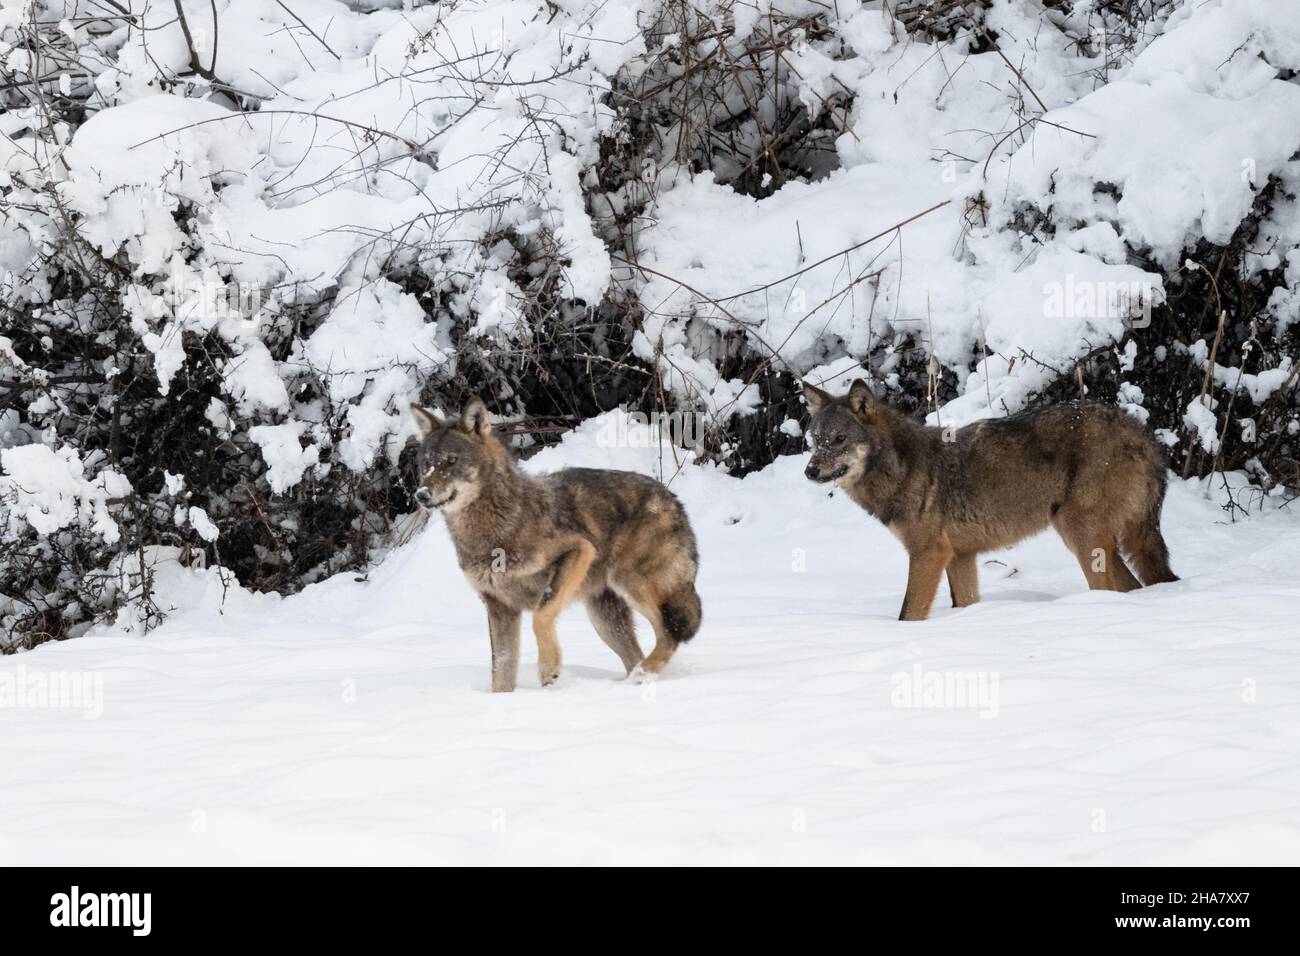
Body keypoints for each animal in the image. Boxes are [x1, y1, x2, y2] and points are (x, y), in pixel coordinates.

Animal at [411, 400, 702, 691]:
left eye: (451, 461)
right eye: (426, 464)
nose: (421, 494)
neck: (496, 527)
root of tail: (672, 498)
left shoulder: (578, 550)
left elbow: (541, 616)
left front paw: (549, 669)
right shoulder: (499, 607)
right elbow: (501, 671)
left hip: (631, 584)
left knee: (672, 631)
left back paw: (644, 673)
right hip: (605, 620)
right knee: (638, 653)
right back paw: (636, 679)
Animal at [802, 380, 1177, 621]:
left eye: (839, 439)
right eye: (815, 440)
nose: (809, 470)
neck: (902, 468)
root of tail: (1142, 432)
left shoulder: (928, 555)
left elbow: (908, 613)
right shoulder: (959, 557)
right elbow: (965, 603)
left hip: (1080, 536)